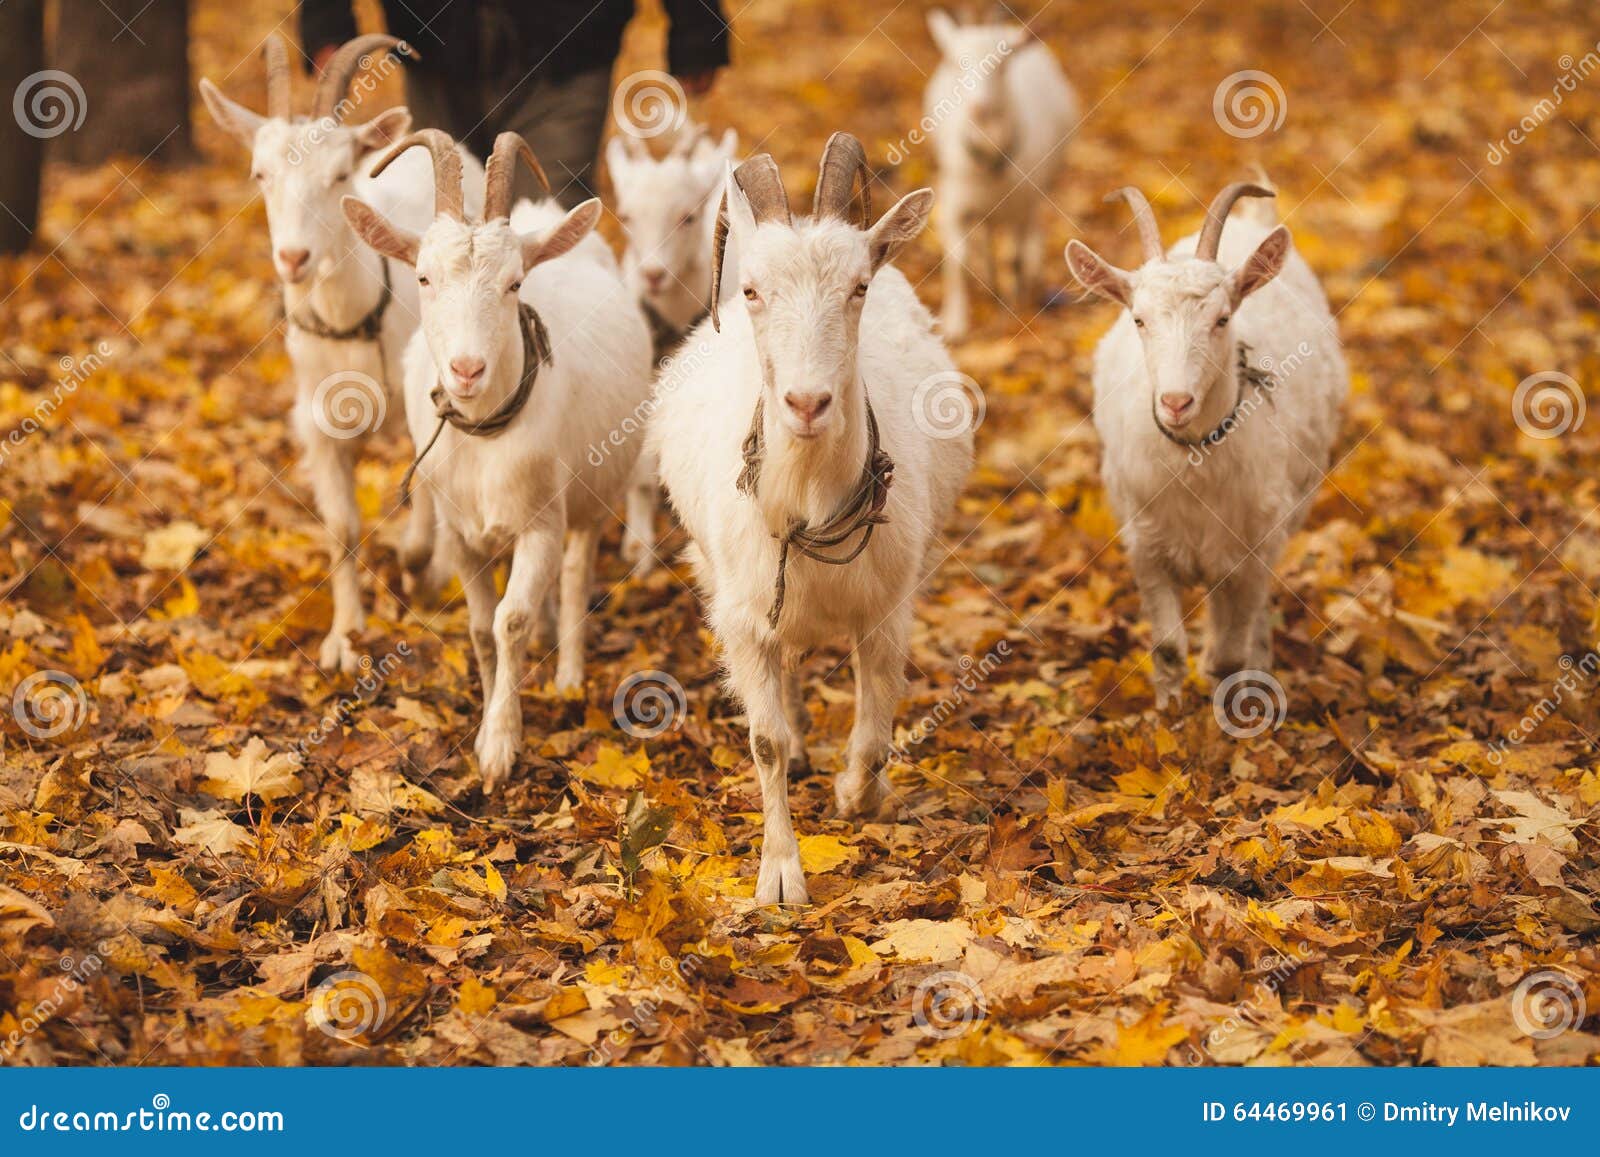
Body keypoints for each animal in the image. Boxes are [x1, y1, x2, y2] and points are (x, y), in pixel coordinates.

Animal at [199, 35, 486, 674]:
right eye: (259, 173)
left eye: (338, 175)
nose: (294, 258)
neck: (353, 322)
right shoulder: (318, 425)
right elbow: (342, 525)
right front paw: (344, 638)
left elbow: (426, 499)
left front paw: (422, 565)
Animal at [343, 131, 654, 791]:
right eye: (423, 277)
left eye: (514, 284)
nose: (467, 369)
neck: (485, 439)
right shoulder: (460, 533)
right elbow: (482, 627)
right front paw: (488, 716)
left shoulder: (541, 523)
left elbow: (511, 620)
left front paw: (500, 746)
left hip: (591, 496)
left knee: (575, 571)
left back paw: (568, 672)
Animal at [648, 134, 973, 904]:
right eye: (751, 289)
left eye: (858, 286)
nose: (806, 403)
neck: (809, 501)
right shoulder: (742, 617)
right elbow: (762, 741)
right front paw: (780, 875)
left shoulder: (887, 606)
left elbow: (877, 727)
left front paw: (859, 794)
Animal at [924, 8, 1078, 339]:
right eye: (954, 62)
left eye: (1003, 65)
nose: (978, 107)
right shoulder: (953, 204)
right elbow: (958, 259)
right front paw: (955, 322)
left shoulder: (1021, 204)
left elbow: (1015, 258)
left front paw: (1014, 308)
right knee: (984, 236)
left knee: (1030, 232)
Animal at [1065, 182, 1348, 708]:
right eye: (1138, 319)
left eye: (1222, 318)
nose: (1176, 402)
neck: (1194, 459)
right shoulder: (1145, 545)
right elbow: (1169, 649)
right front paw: (1169, 714)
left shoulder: (1255, 547)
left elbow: (1229, 655)